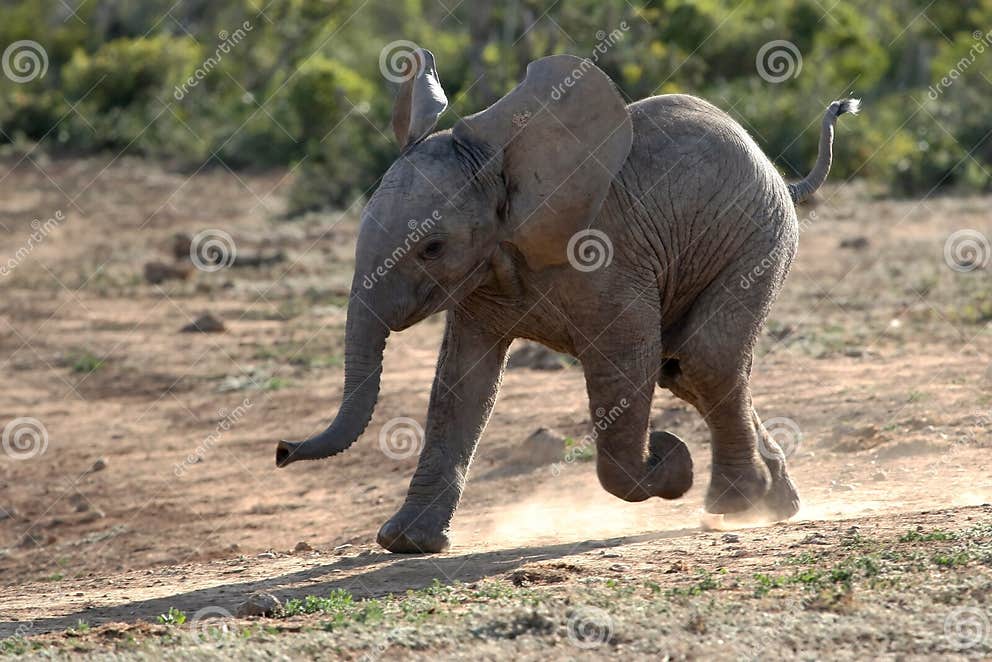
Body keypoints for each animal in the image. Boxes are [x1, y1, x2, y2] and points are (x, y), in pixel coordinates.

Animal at [275, 48, 859, 553]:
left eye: (431, 248)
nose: (282, 451)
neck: (506, 170)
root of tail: (780, 173)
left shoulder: (606, 261)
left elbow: (626, 361)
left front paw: (670, 463)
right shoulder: (484, 277)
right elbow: (460, 383)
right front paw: (407, 544)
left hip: (758, 242)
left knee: (702, 360)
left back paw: (734, 507)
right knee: (684, 370)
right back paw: (776, 505)